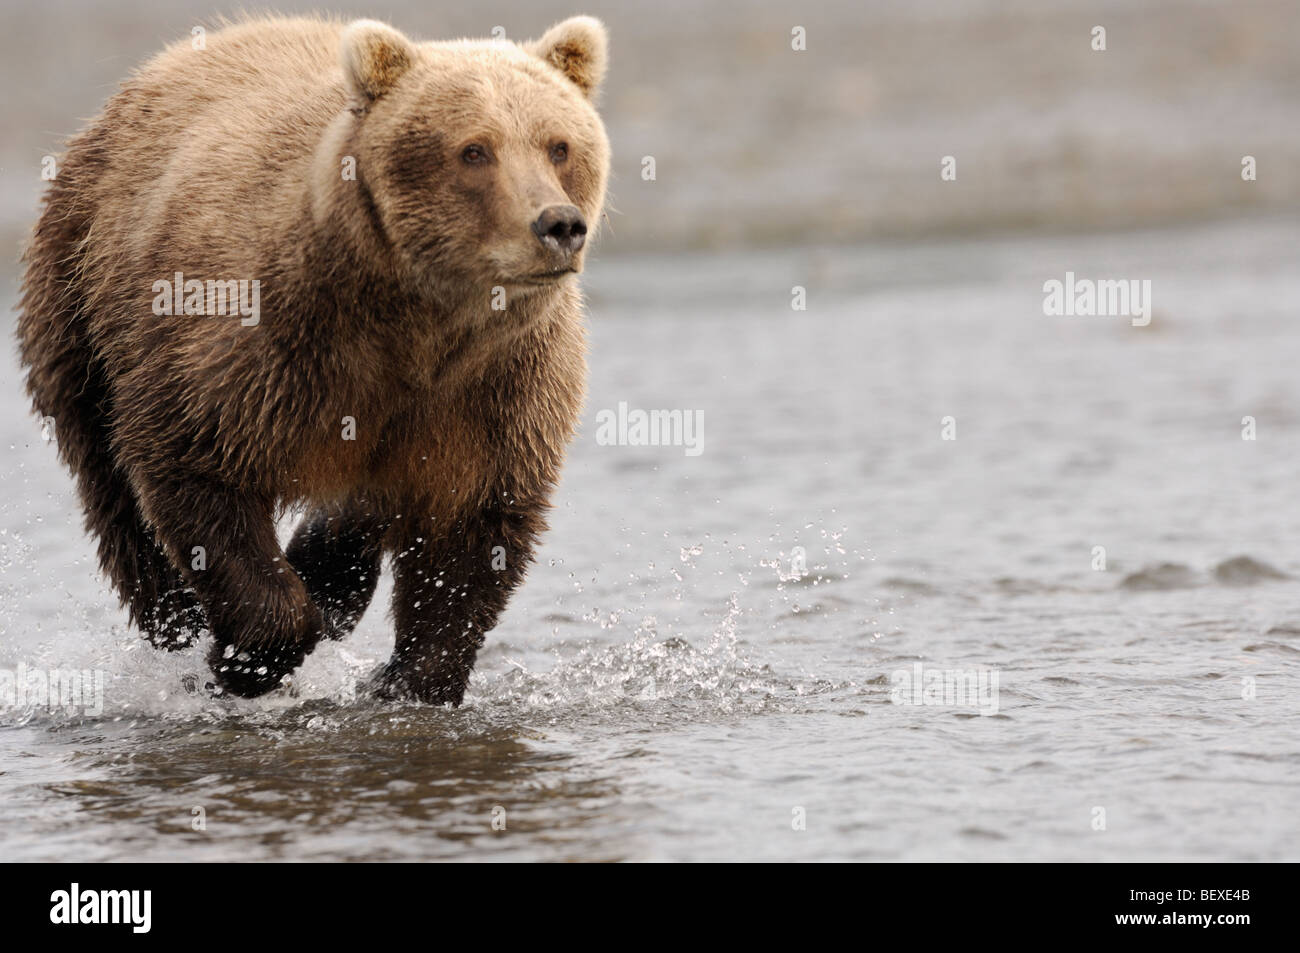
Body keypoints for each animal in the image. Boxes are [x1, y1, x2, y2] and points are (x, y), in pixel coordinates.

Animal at [17, 14, 610, 704]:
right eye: (474, 150)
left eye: (558, 145)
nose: (558, 224)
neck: (415, 325)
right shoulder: (247, 345)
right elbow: (193, 470)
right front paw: (242, 659)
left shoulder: (497, 385)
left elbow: (473, 532)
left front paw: (406, 682)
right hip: (82, 295)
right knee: (113, 491)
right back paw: (181, 622)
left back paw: (329, 579)